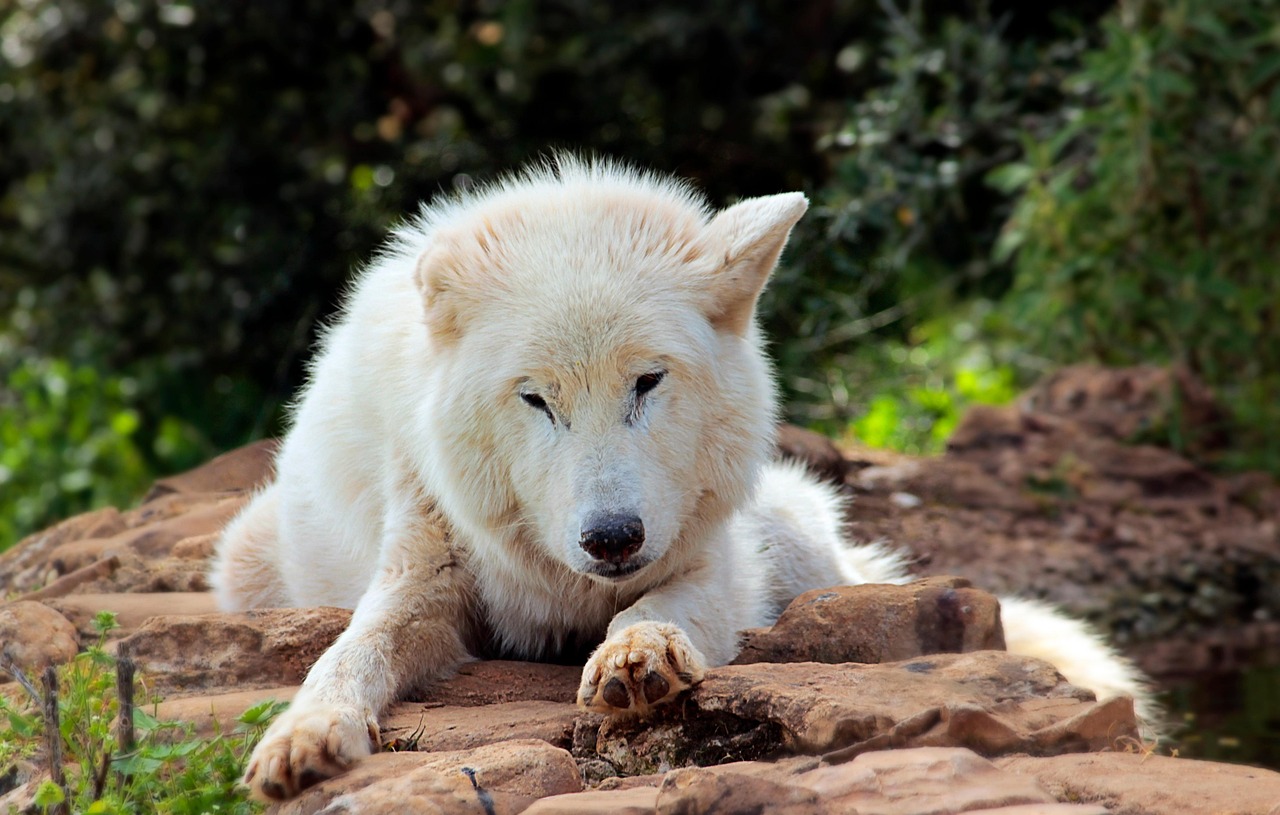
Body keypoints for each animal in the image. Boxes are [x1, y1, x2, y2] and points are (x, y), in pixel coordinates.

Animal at [210, 157, 1153, 800]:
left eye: (647, 382)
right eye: (536, 399)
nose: (611, 537)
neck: (567, 588)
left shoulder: (712, 561)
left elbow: (664, 607)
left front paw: (638, 653)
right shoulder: (423, 571)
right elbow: (352, 648)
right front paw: (305, 732)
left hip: (791, 539)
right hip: (243, 562)